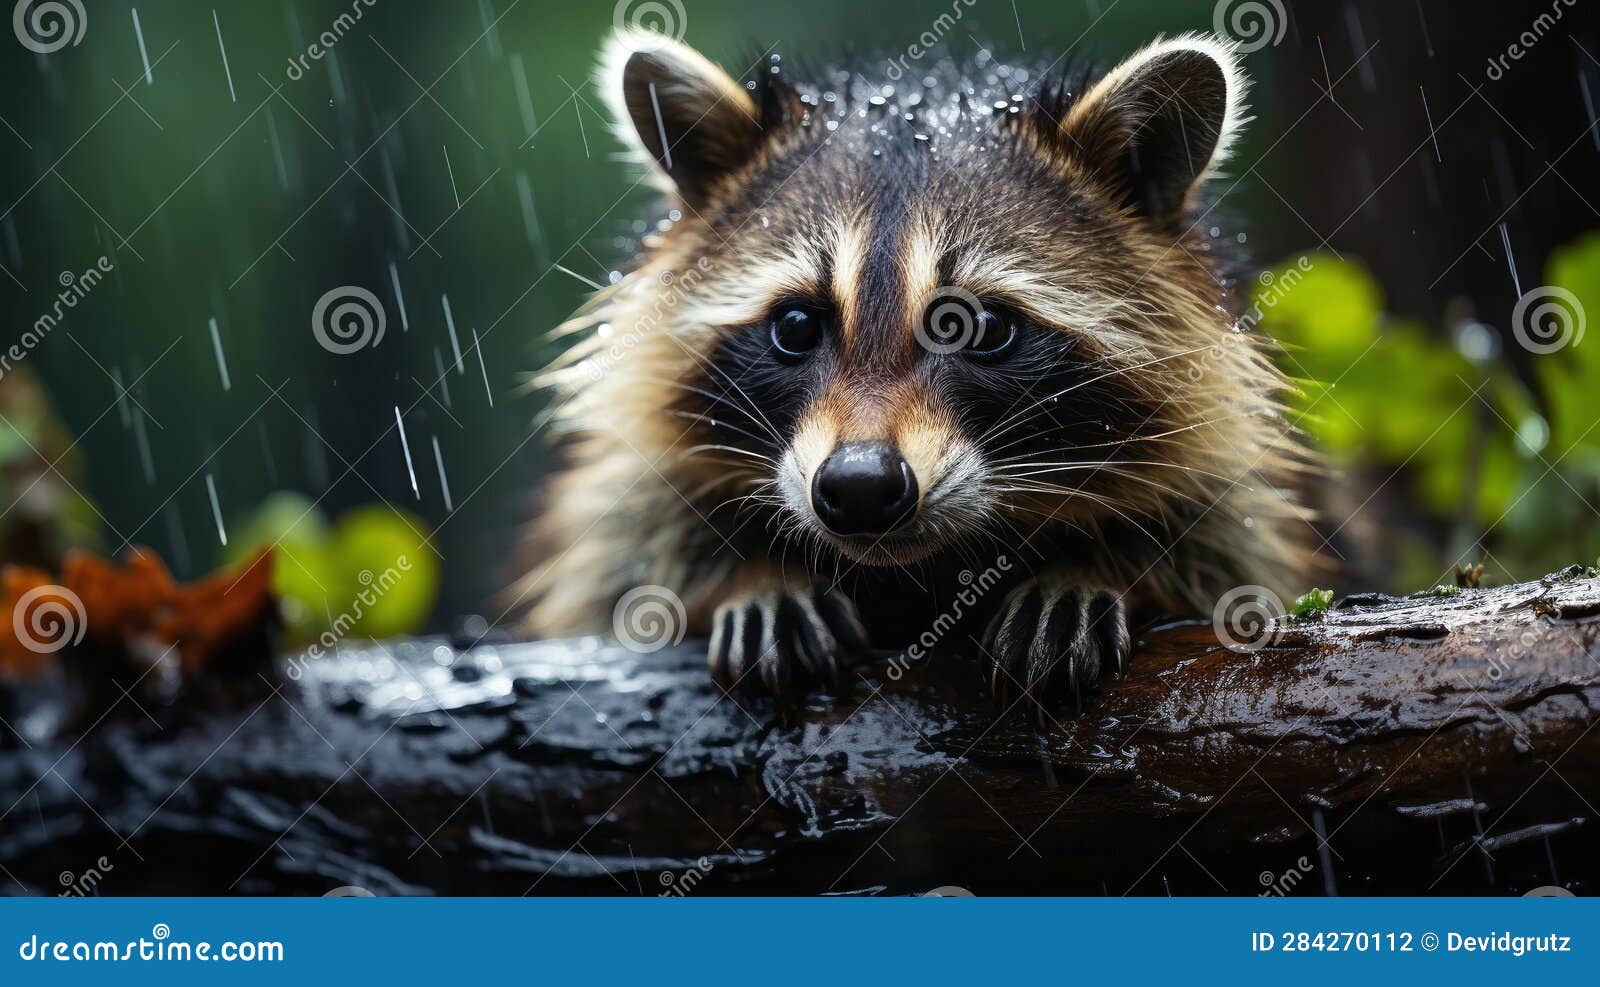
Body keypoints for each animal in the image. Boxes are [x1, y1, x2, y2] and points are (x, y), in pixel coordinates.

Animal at [522, 28, 1314, 718]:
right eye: (796, 326)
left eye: (979, 328)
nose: (860, 487)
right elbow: (634, 550)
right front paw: (756, 574)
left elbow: (1222, 538)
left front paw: (1095, 566)